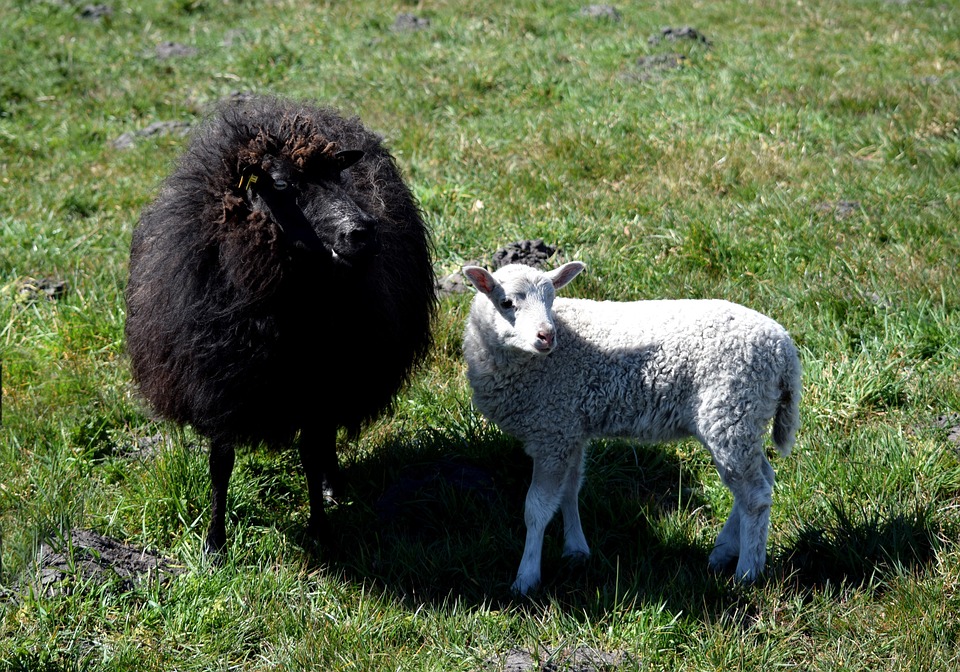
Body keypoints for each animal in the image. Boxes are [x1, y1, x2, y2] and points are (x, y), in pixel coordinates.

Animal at [125, 95, 437, 556]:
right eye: (283, 186)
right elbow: (221, 463)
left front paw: (321, 531)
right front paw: (214, 543)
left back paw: (331, 485)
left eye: (338, 177)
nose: (363, 232)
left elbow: (310, 453)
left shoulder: (318, 385)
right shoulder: (220, 384)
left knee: (325, 443)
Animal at [461, 261, 801, 594]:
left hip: (731, 410)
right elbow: (570, 490)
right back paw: (724, 551)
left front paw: (526, 577)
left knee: (754, 495)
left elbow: (537, 509)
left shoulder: (552, 429)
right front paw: (576, 550)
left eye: (551, 299)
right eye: (506, 302)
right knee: (760, 479)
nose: (547, 336)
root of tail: (784, 349)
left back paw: (748, 571)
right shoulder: (569, 426)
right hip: (743, 418)